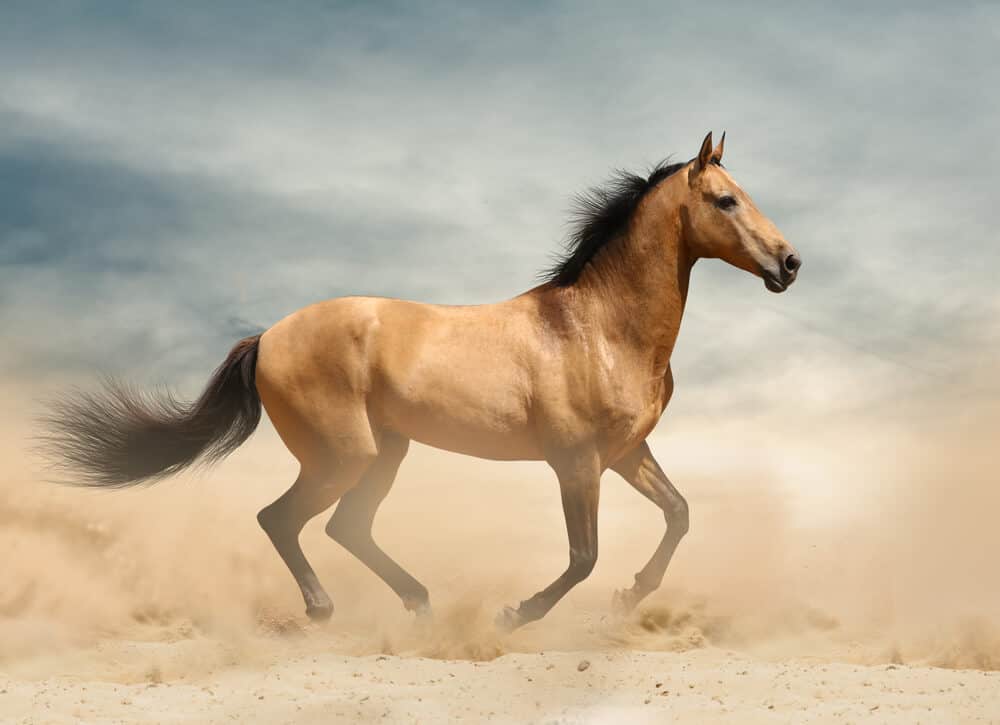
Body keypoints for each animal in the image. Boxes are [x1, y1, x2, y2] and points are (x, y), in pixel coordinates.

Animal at [41, 132, 800, 630]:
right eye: (726, 201)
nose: (789, 263)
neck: (598, 327)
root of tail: (268, 337)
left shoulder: (625, 453)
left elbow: (679, 513)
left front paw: (626, 597)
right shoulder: (576, 462)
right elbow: (583, 556)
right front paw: (515, 614)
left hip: (386, 451)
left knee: (344, 526)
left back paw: (419, 603)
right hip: (344, 454)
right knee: (282, 518)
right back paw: (327, 611)